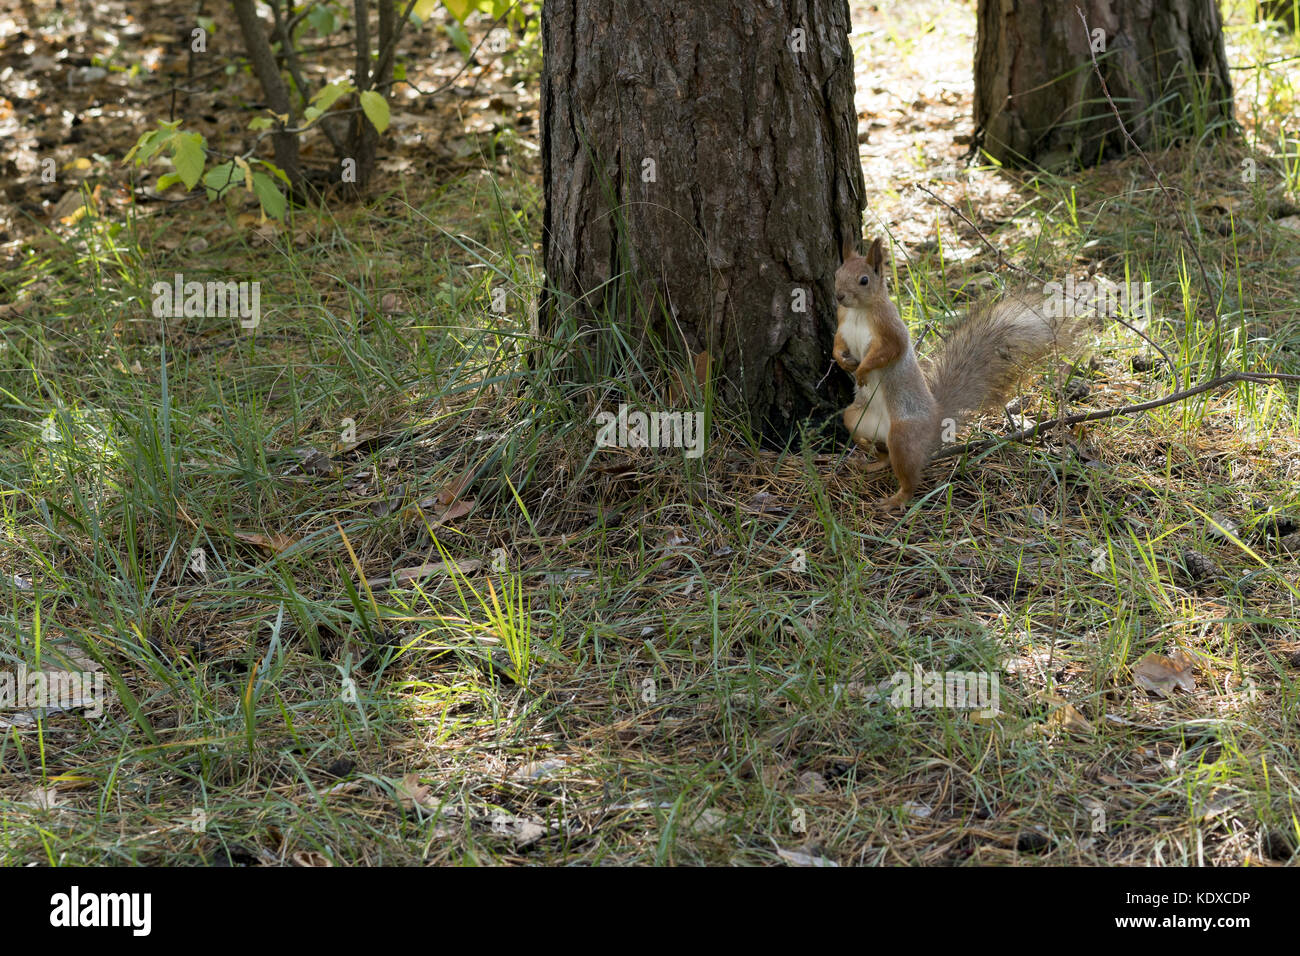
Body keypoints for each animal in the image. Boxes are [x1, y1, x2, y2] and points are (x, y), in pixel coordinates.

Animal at [833, 237, 1075, 511]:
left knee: (909, 476)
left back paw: (896, 499)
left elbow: (888, 352)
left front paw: (862, 370)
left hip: (903, 435)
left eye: (864, 280)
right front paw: (843, 361)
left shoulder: (890, 330)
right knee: (872, 444)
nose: (839, 296)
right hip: (858, 417)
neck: (858, 312)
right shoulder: (842, 322)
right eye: (837, 273)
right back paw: (869, 457)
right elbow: (837, 342)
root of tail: (935, 420)